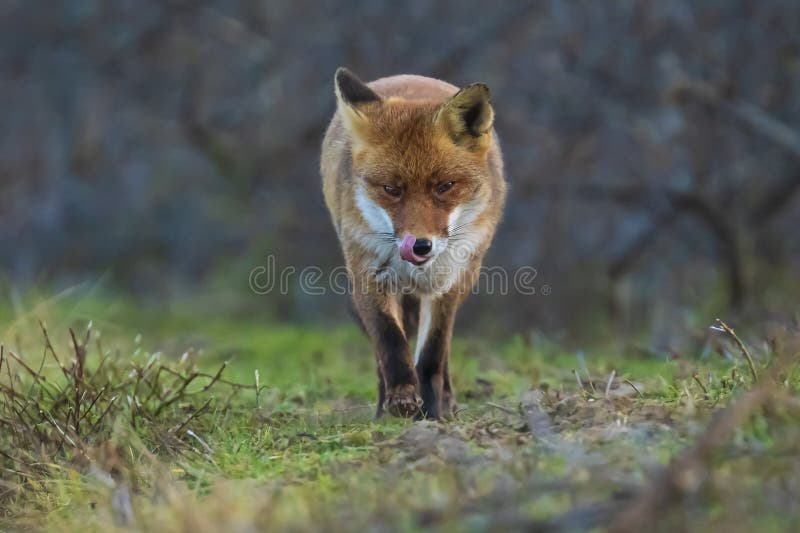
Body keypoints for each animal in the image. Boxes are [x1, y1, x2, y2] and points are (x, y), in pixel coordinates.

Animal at [321, 68, 506, 419]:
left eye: (445, 186)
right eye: (392, 190)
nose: (420, 246)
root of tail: (407, 76)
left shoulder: (447, 283)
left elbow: (433, 353)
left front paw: (433, 411)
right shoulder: (369, 277)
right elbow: (390, 341)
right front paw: (402, 398)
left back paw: (446, 402)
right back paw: (384, 407)